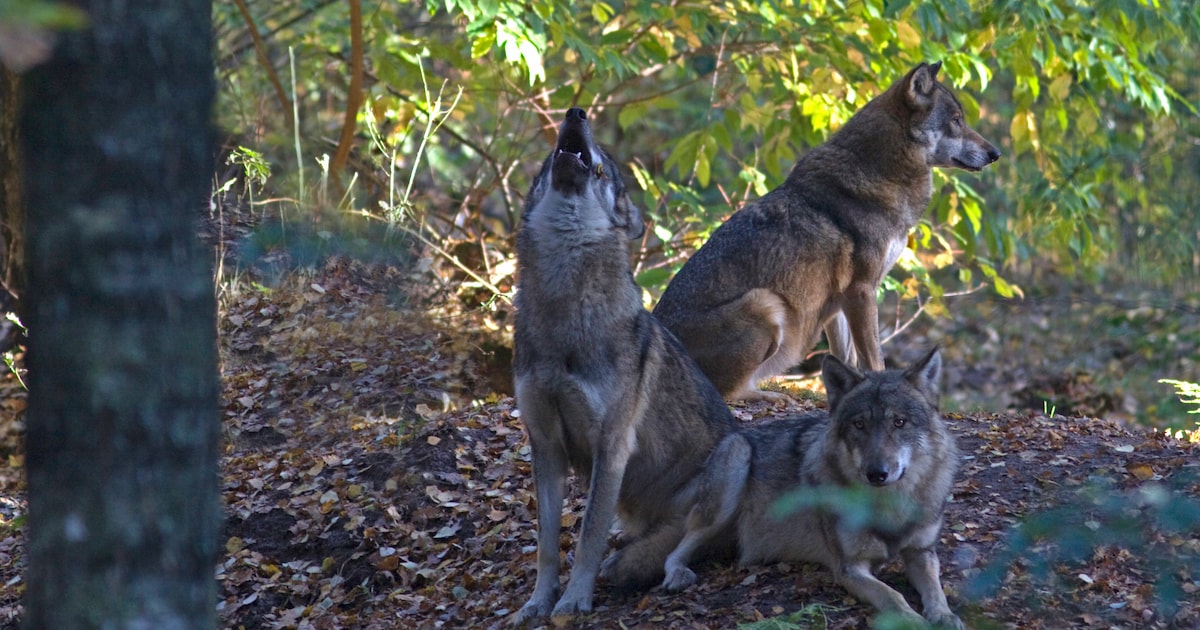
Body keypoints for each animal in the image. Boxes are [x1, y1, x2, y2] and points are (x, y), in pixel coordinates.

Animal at [510, 107, 737, 625]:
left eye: (603, 167)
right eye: (552, 156)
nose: (576, 112)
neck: (564, 306)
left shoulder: (610, 446)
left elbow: (588, 536)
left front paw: (574, 600)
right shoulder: (545, 444)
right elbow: (547, 543)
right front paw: (537, 602)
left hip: (735, 456)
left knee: (685, 541)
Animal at [653, 62, 1000, 401]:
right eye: (956, 120)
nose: (995, 154)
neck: (880, 173)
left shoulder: (840, 302)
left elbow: (846, 356)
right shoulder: (862, 291)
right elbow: (873, 358)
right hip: (766, 303)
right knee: (727, 392)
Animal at [660, 347, 964, 629]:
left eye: (899, 422)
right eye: (859, 425)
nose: (876, 474)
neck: (890, 504)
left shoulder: (922, 552)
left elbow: (936, 588)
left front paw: (945, 615)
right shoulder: (849, 568)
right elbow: (892, 596)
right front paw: (914, 620)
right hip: (735, 463)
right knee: (678, 548)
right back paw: (677, 574)